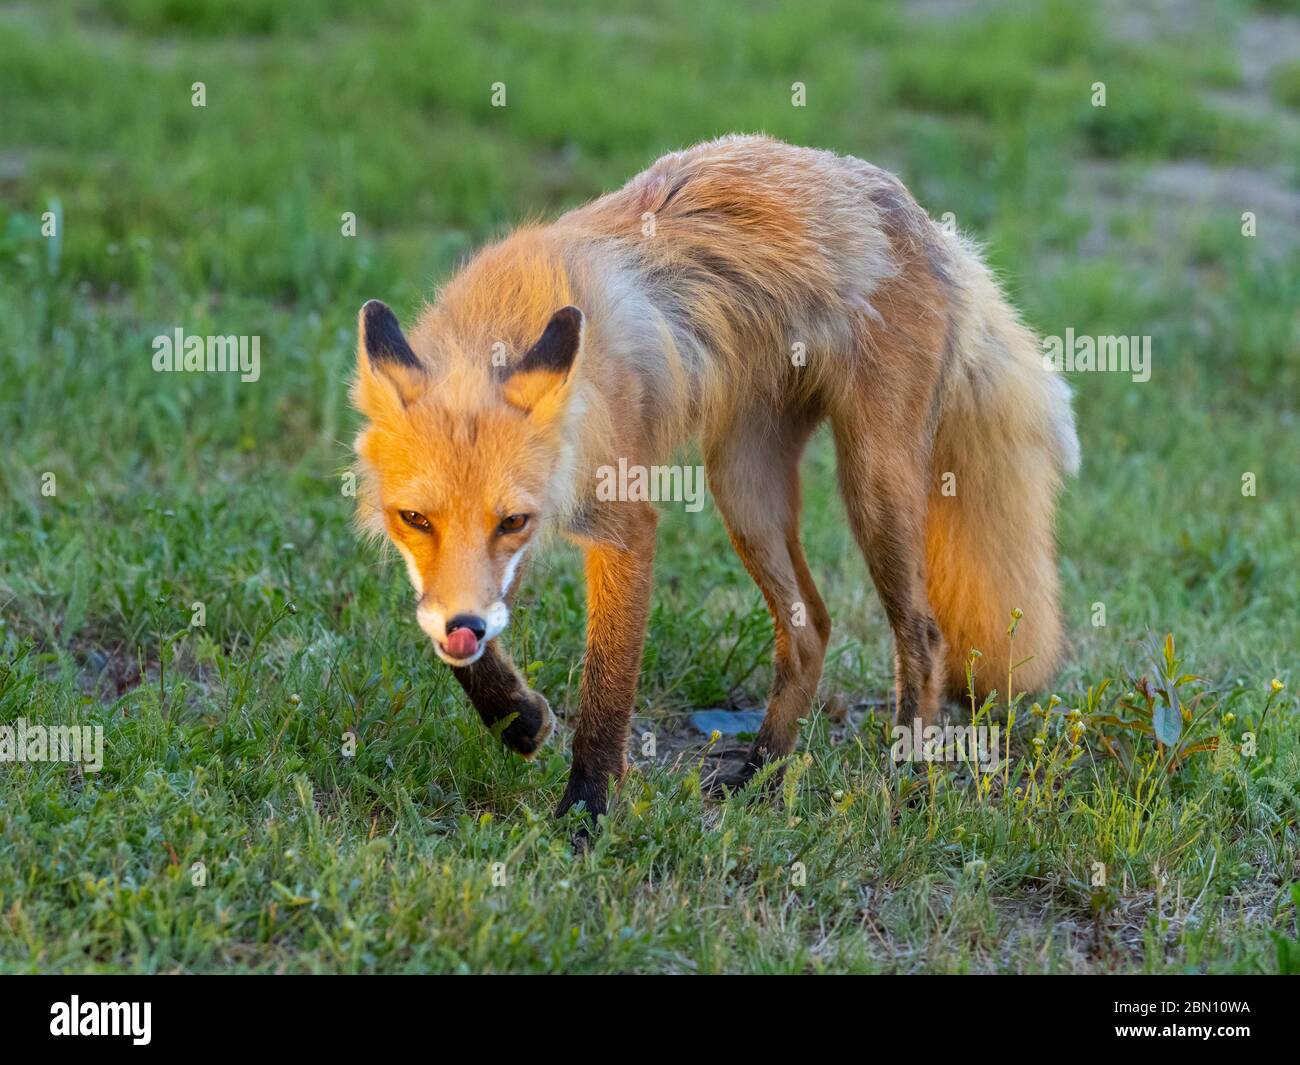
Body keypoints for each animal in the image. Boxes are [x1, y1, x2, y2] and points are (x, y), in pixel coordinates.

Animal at [351, 135, 1080, 823]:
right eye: (415, 519)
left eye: (509, 519)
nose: (462, 624)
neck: (506, 317)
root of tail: (917, 216)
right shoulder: (514, 541)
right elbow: (471, 654)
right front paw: (519, 720)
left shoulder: (620, 524)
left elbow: (607, 693)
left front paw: (586, 812)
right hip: (745, 487)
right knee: (811, 629)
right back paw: (763, 771)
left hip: (873, 487)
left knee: (924, 637)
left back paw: (906, 779)